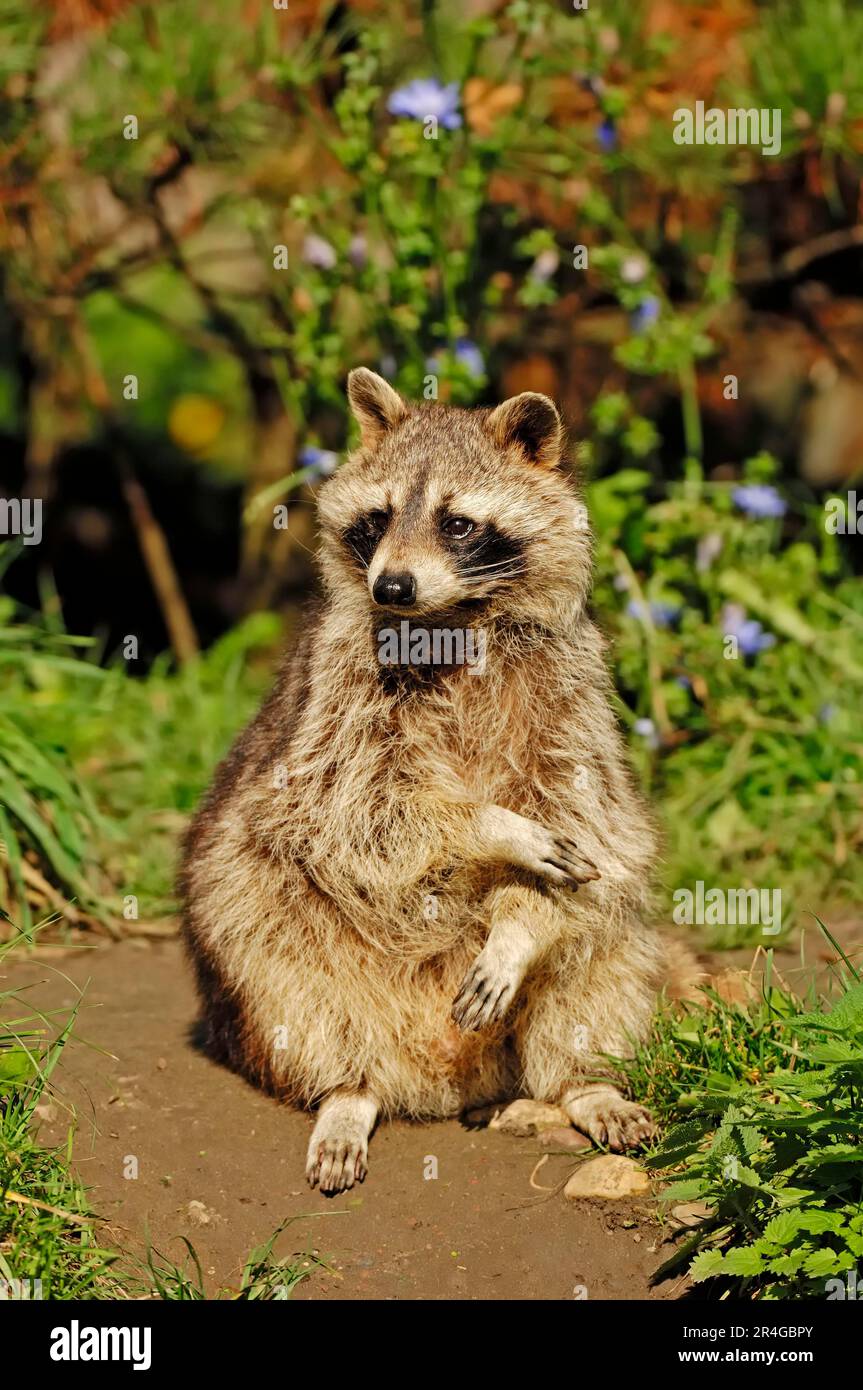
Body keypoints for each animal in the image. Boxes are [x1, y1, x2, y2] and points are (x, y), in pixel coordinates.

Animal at [180, 368, 700, 1193]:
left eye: (457, 524)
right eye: (379, 517)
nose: (391, 587)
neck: (455, 619)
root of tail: (448, 1079)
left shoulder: (574, 698)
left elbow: (590, 821)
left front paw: (518, 924)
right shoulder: (338, 694)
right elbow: (350, 810)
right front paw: (490, 825)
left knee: (604, 943)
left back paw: (581, 1081)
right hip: (245, 919)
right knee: (278, 965)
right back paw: (348, 1091)